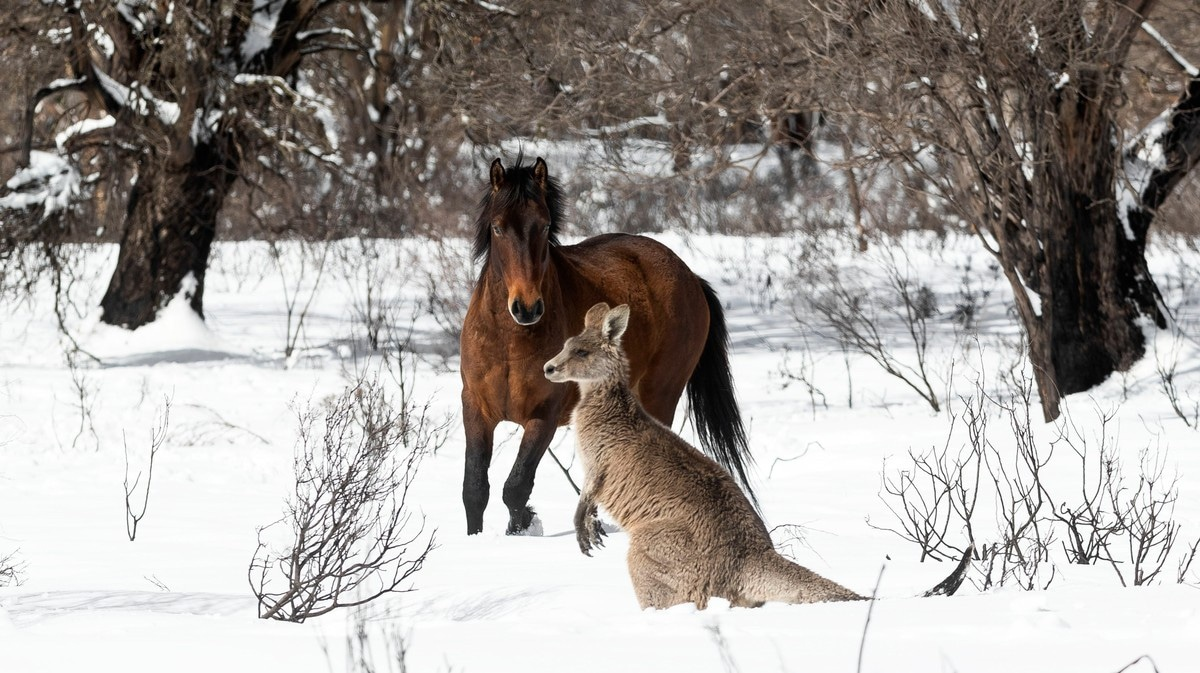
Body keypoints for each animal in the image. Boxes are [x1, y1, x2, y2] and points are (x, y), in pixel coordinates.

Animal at [458, 157, 748, 535]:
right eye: (497, 227)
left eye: (544, 225)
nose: (527, 307)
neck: (509, 340)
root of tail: (689, 276)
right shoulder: (476, 409)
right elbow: (475, 489)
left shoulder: (544, 416)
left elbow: (516, 487)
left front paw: (524, 525)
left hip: (660, 394)